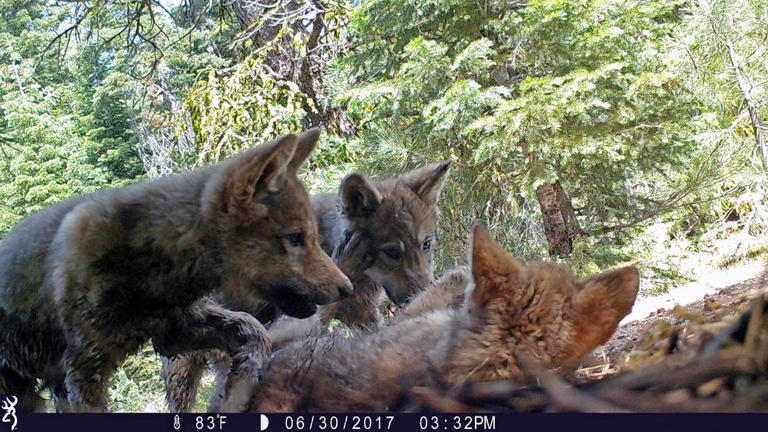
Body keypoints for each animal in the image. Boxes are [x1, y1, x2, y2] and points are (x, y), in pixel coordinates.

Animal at [0, 129, 353, 412]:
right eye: (295, 238)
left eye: (312, 237)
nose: (347, 289)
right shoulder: (85, 368)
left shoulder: (175, 331)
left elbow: (254, 332)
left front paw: (239, 385)